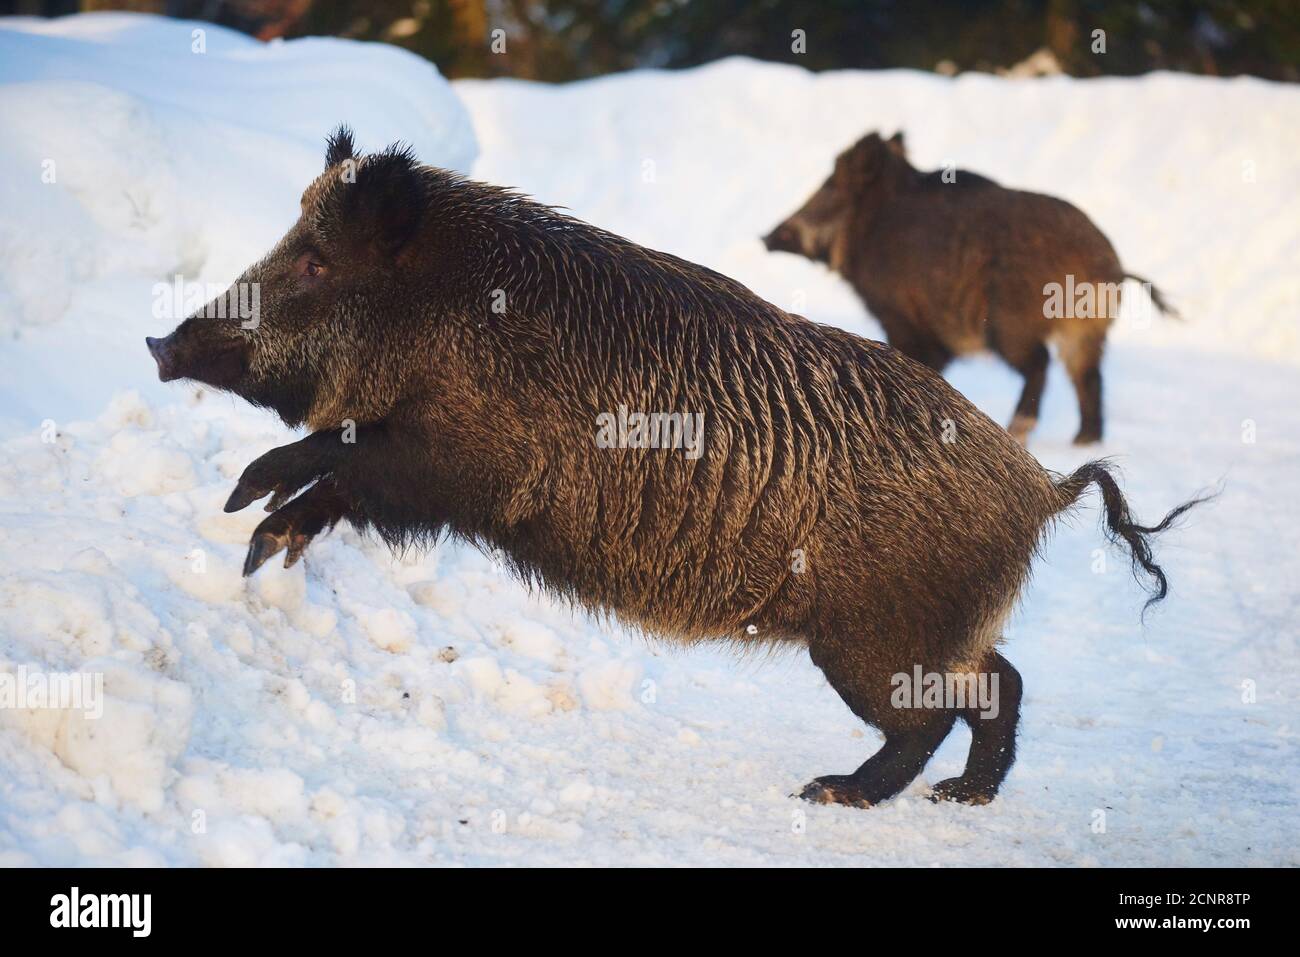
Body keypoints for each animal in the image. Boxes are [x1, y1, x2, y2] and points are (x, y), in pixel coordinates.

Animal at [763, 131, 1179, 445]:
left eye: (831, 185)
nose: (766, 236)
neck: (872, 227)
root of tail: (1108, 264)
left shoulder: (903, 319)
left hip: (1012, 324)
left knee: (1042, 364)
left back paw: (1019, 432)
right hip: (1088, 331)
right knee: (1088, 377)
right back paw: (1083, 442)